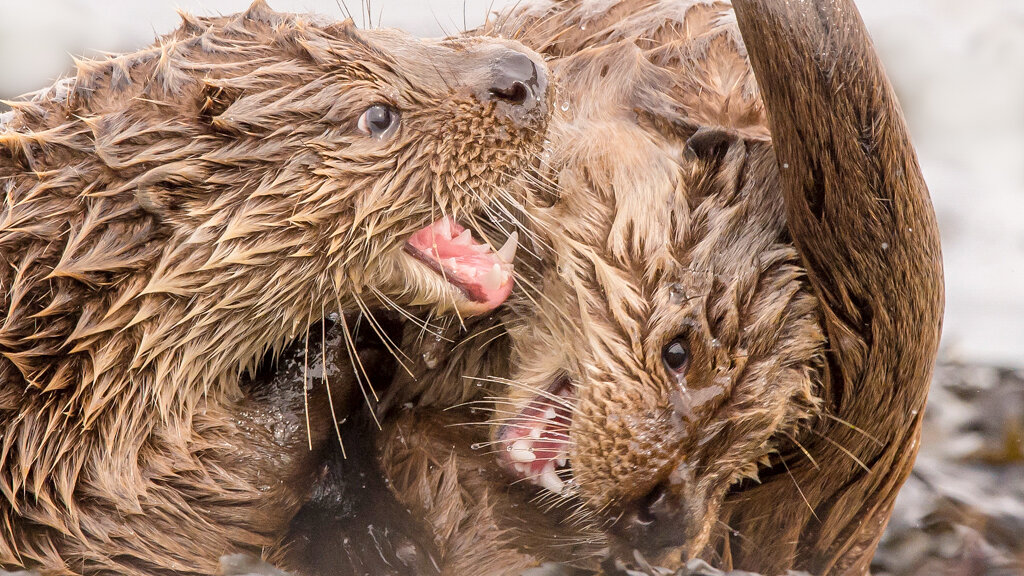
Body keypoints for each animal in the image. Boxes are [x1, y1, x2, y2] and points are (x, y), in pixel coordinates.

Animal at [0, 2, 551, 574]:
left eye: (380, 33)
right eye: (378, 116)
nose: (520, 75)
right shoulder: (99, 496)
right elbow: (234, 485)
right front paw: (343, 346)